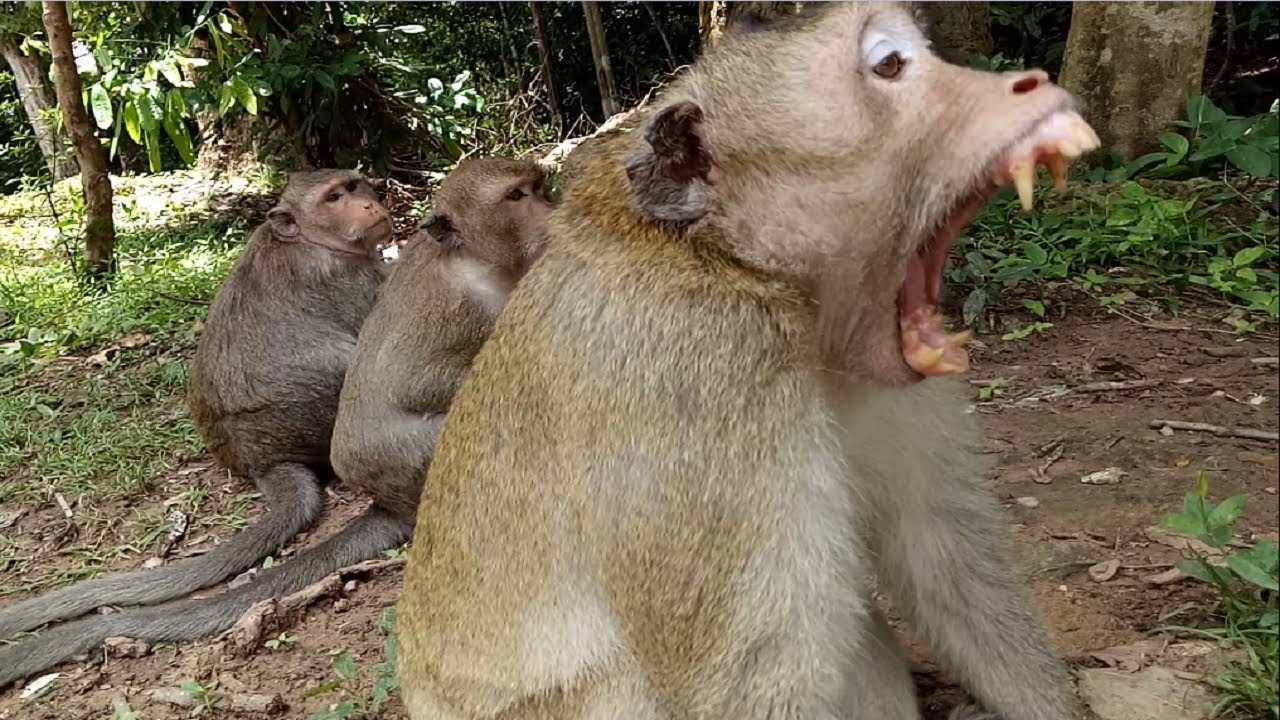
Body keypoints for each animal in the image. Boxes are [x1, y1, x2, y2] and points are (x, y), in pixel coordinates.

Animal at [0, 169, 391, 687]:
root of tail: (261, 460)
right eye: (334, 197)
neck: (306, 239)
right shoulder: (348, 277)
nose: (369, 204)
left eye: (356, 184)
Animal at [395, 5, 1100, 720]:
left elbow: (942, 554)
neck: (735, 263)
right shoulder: (699, 366)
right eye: (890, 65)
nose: (1029, 82)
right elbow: (749, 679)